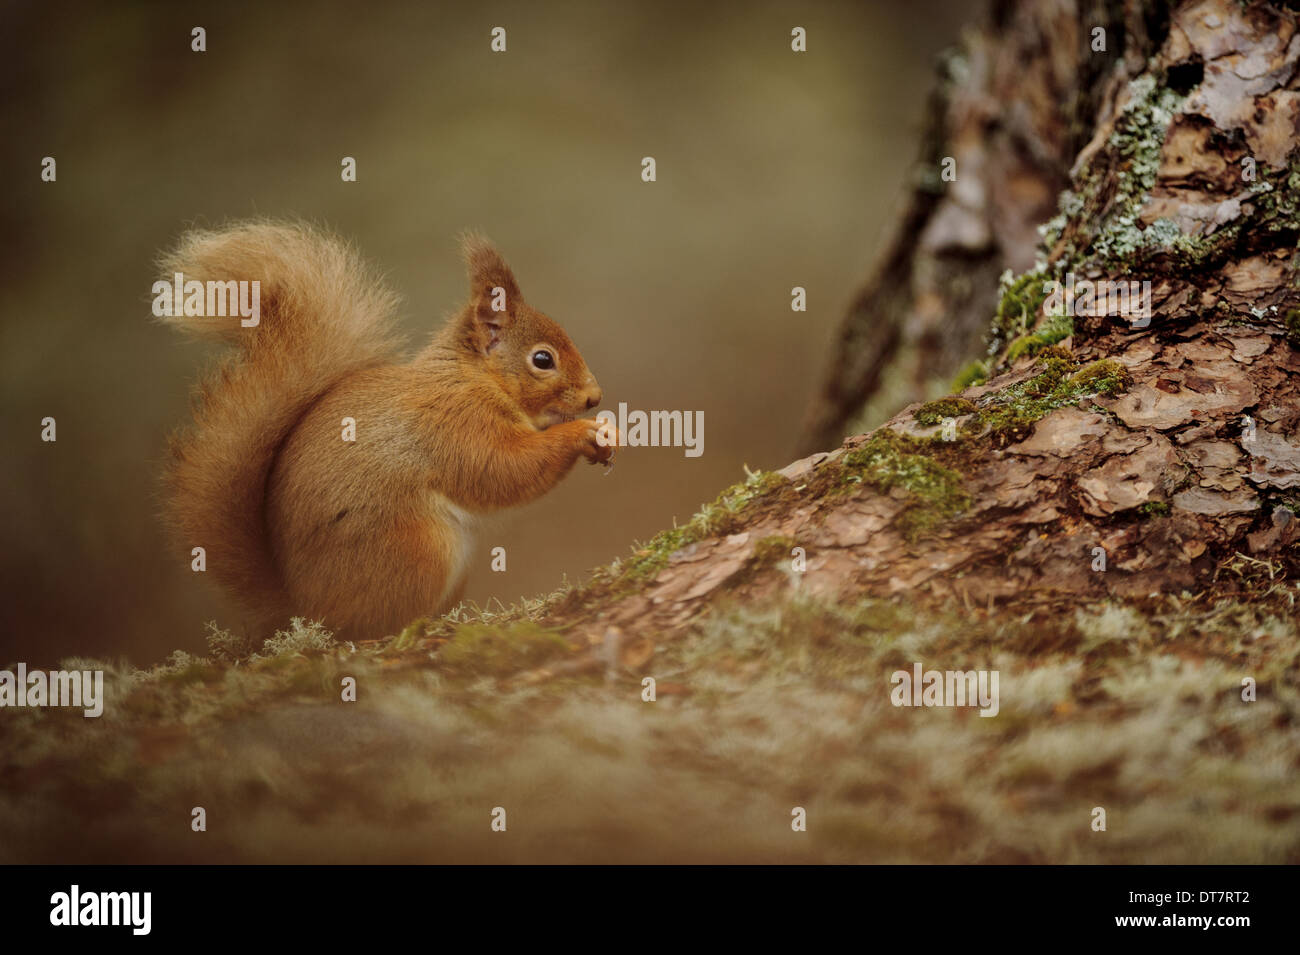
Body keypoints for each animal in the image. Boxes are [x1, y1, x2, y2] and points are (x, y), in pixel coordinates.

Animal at [158, 220, 618, 641]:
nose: (595, 397)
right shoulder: (456, 422)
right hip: (416, 551)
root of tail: (304, 608)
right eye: (543, 359)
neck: (475, 377)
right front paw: (583, 433)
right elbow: (503, 469)